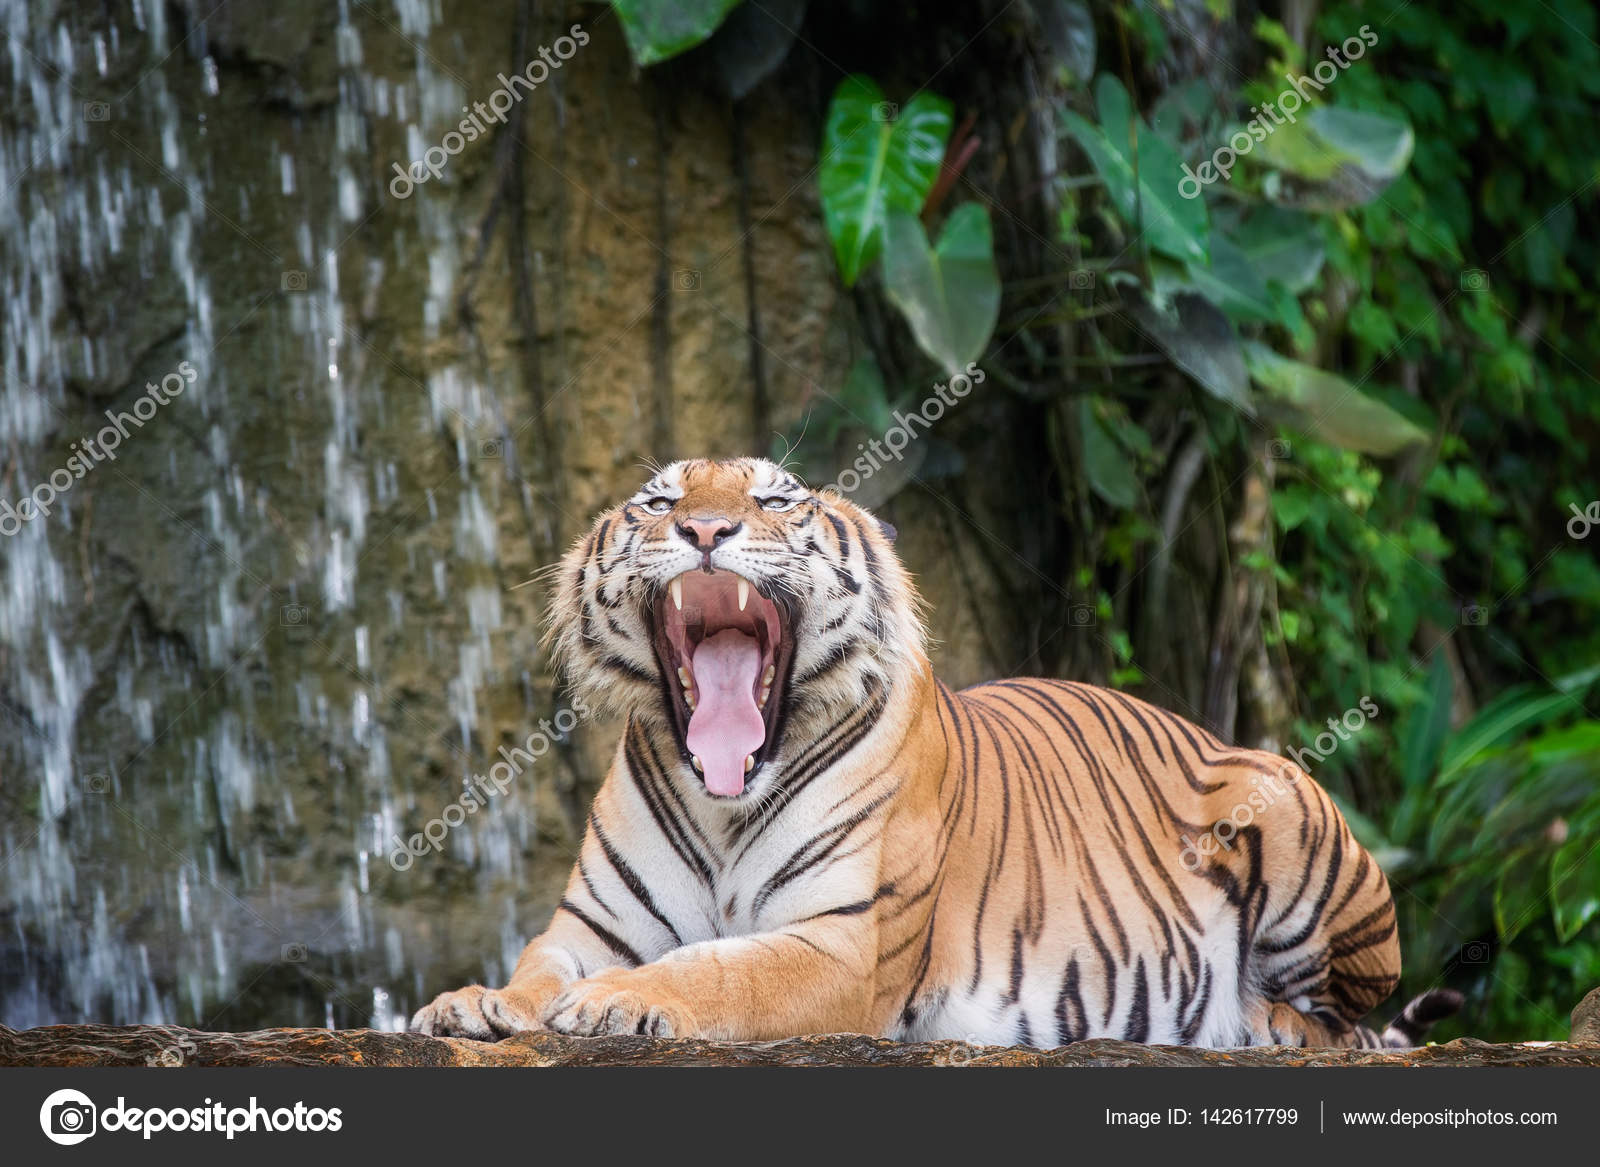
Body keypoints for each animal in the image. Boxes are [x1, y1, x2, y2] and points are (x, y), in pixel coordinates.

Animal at [411, 456, 1459, 1048]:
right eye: (659, 499)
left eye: (775, 498)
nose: (703, 528)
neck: (721, 799)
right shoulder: (592, 925)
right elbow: (539, 965)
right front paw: (474, 1003)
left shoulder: (843, 942)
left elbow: (714, 968)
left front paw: (614, 1003)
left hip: (1289, 809)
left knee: (1347, 1017)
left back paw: (1268, 1022)